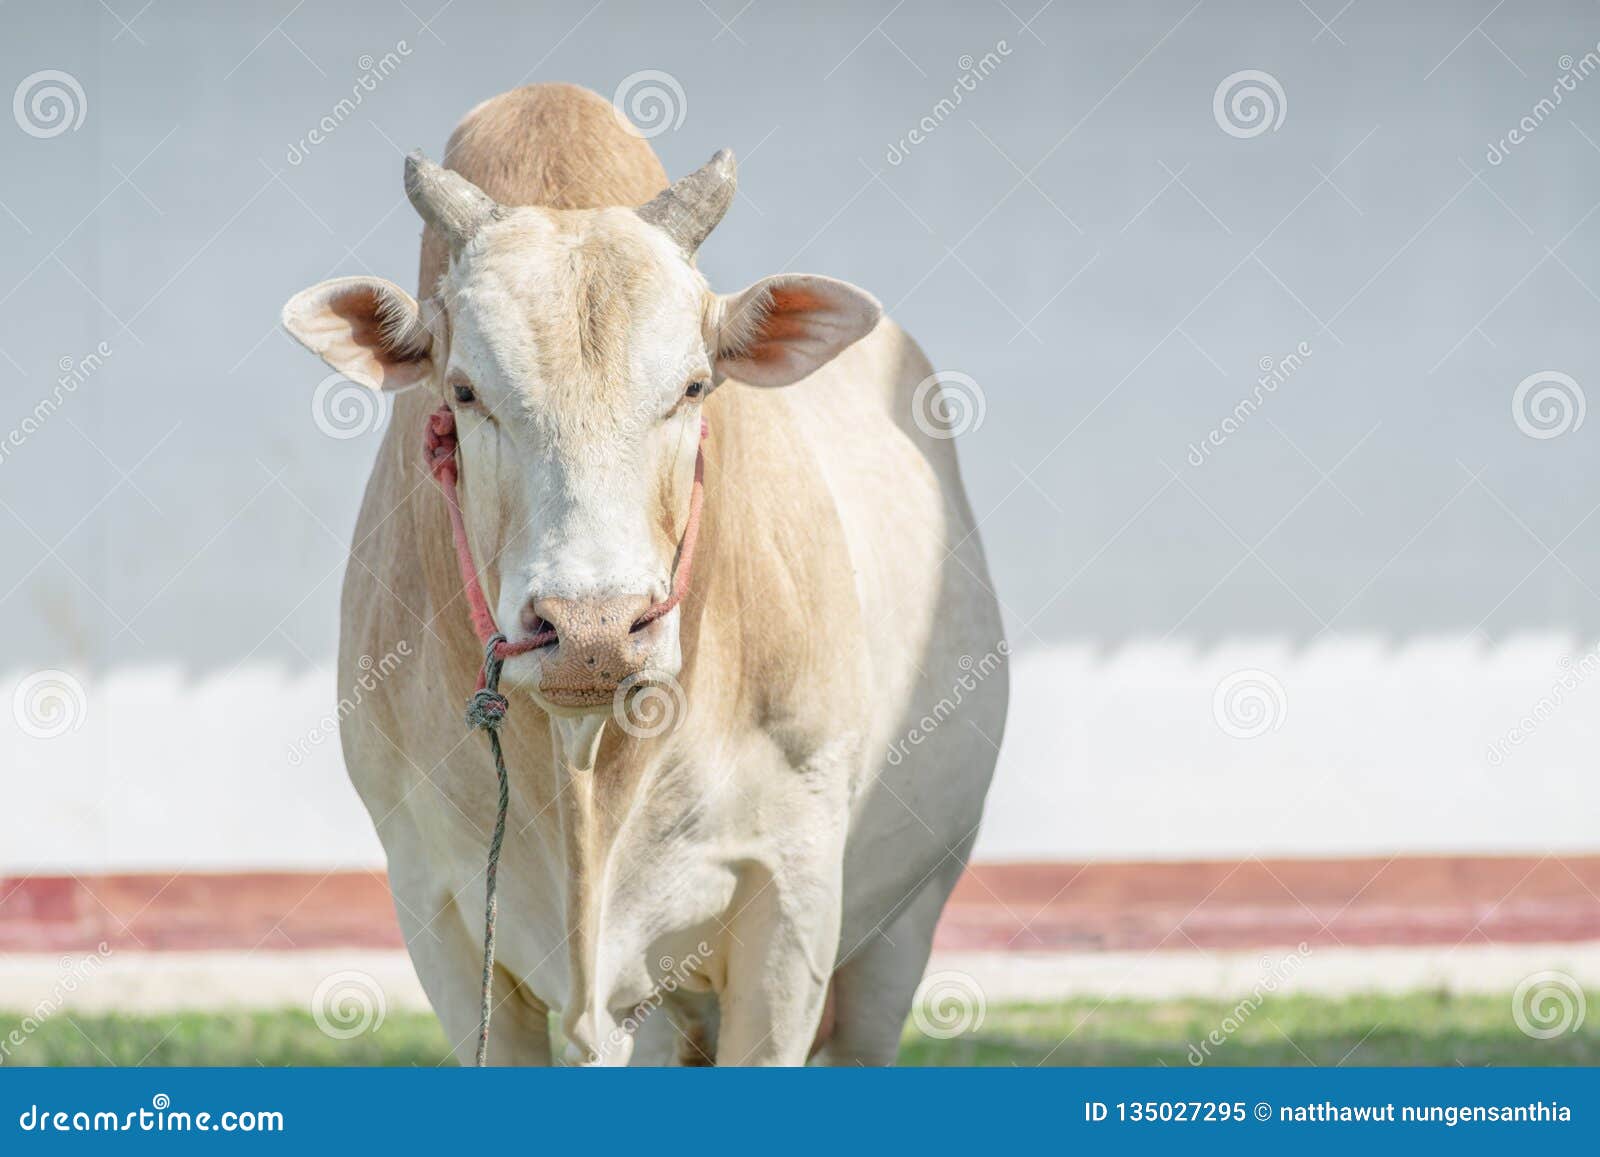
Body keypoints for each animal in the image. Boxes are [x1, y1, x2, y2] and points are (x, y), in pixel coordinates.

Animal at [281, 83, 1007, 1065]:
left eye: (695, 387)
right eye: (463, 391)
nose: (592, 628)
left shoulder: (792, 901)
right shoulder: (442, 914)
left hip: (902, 926)